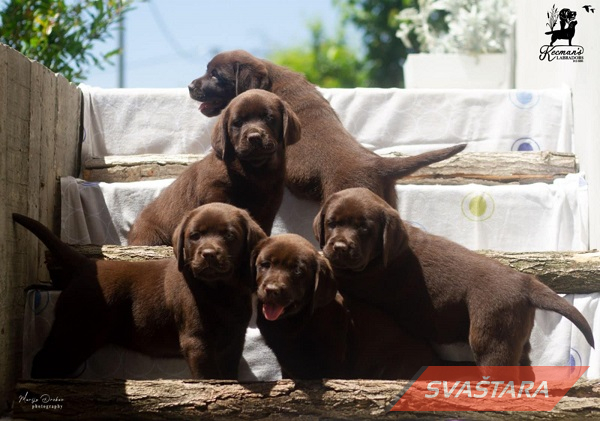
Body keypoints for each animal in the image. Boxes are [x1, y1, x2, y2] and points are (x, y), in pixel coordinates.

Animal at [11, 202, 264, 378]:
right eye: (195, 236)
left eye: (230, 235)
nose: (209, 254)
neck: (220, 290)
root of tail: (87, 264)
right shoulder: (197, 341)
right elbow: (210, 377)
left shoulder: (234, 339)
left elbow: (228, 374)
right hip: (75, 330)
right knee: (43, 361)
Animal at [130, 88, 300, 246]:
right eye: (237, 123)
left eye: (269, 118)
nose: (254, 137)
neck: (255, 169)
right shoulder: (215, 191)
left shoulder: (270, 204)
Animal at [314, 189, 596, 366]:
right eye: (331, 223)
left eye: (364, 229)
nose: (340, 247)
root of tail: (525, 282)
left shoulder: (355, 274)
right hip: (516, 335)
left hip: (491, 337)